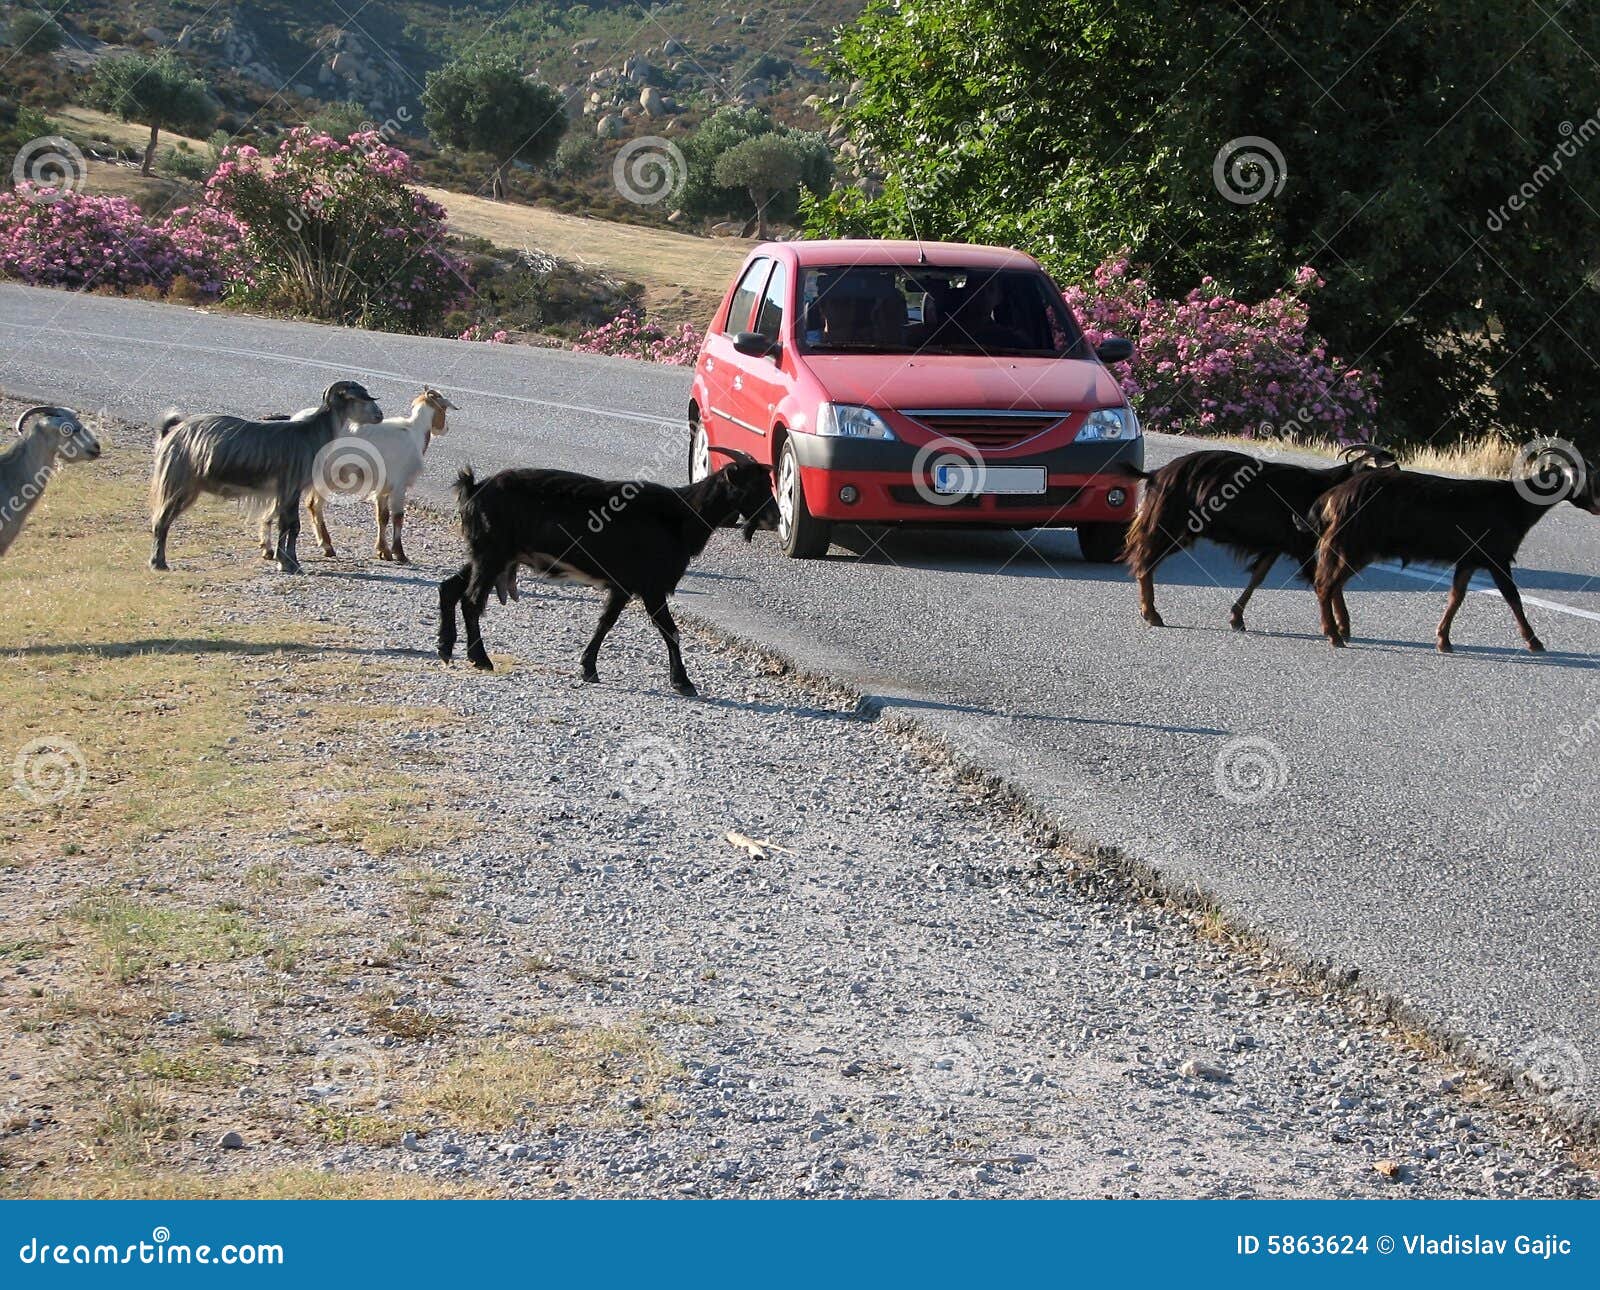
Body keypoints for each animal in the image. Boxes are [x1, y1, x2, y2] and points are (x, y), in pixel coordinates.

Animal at [150, 381, 383, 573]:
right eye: (362, 398)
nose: (379, 415)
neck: (311, 433)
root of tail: (171, 432)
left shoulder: (287, 491)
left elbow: (288, 524)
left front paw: (287, 560)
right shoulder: (290, 486)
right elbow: (289, 524)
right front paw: (289, 563)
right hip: (179, 482)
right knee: (162, 520)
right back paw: (158, 563)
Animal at [256, 387, 457, 564]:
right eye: (444, 407)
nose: (446, 428)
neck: (414, 432)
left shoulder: (383, 487)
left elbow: (382, 517)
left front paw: (383, 551)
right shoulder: (399, 485)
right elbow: (398, 517)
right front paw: (400, 554)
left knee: (309, 505)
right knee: (308, 504)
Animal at [437, 454, 779, 695]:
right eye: (752, 487)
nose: (775, 518)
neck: (683, 515)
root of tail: (473, 488)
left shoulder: (623, 585)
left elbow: (606, 622)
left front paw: (588, 668)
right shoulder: (651, 585)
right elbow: (669, 630)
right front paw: (683, 682)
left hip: (490, 554)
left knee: (449, 588)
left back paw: (445, 648)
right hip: (492, 553)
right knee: (471, 600)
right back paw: (480, 658)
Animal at [1119, 444, 1396, 637]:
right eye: (1376, 470)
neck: (1322, 489)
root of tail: (1156, 474)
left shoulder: (1275, 545)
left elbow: (1258, 577)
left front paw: (1236, 619)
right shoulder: (1303, 545)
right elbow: (1328, 580)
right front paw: (1342, 629)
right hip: (1172, 525)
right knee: (1145, 561)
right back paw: (1152, 614)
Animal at [1312, 447, 1600, 652]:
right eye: (1587, 479)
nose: (1598, 506)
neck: (1516, 504)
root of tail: (1334, 497)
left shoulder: (1469, 560)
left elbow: (1456, 596)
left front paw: (1443, 640)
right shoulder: (1496, 557)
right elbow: (1513, 597)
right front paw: (1534, 642)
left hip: (1353, 545)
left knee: (1333, 584)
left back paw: (1340, 629)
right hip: (1354, 543)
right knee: (1326, 584)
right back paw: (1334, 635)